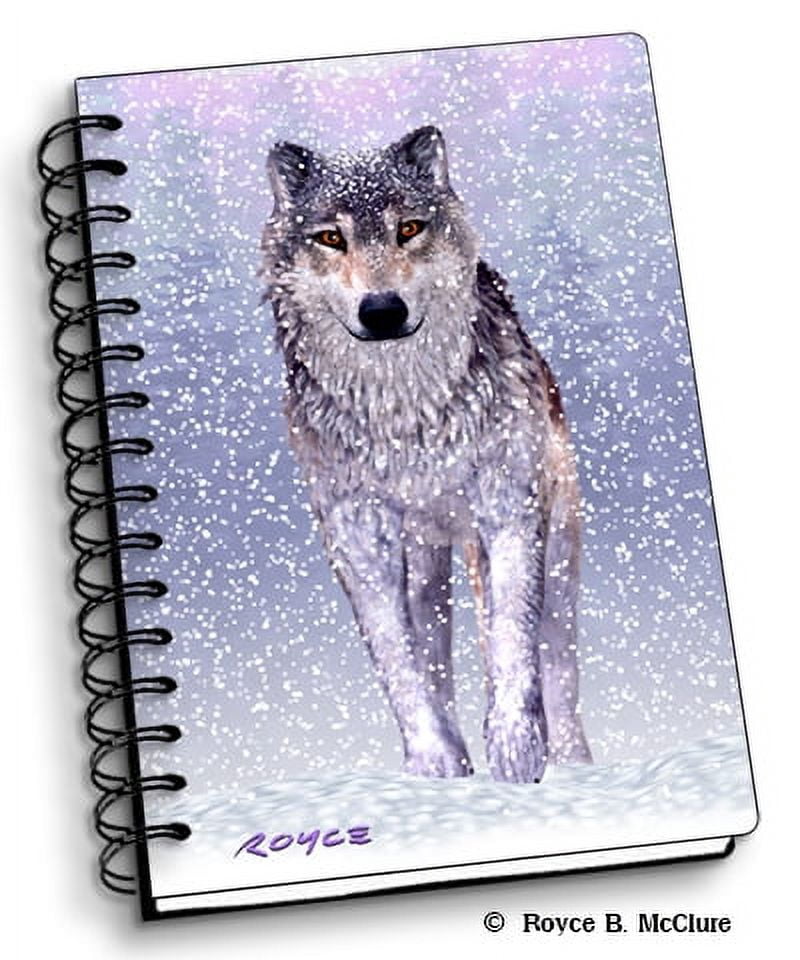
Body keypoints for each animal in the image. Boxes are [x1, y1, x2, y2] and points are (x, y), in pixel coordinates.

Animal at [261, 126, 591, 783]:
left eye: (408, 228)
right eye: (331, 237)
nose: (383, 310)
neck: (405, 415)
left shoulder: (509, 510)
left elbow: (512, 644)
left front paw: (516, 749)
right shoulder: (358, 539)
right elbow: (398, 662)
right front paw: (435, 761)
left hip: (554, 554)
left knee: (555, 665)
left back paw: (572, 760)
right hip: (424, 564)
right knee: (434, 655)